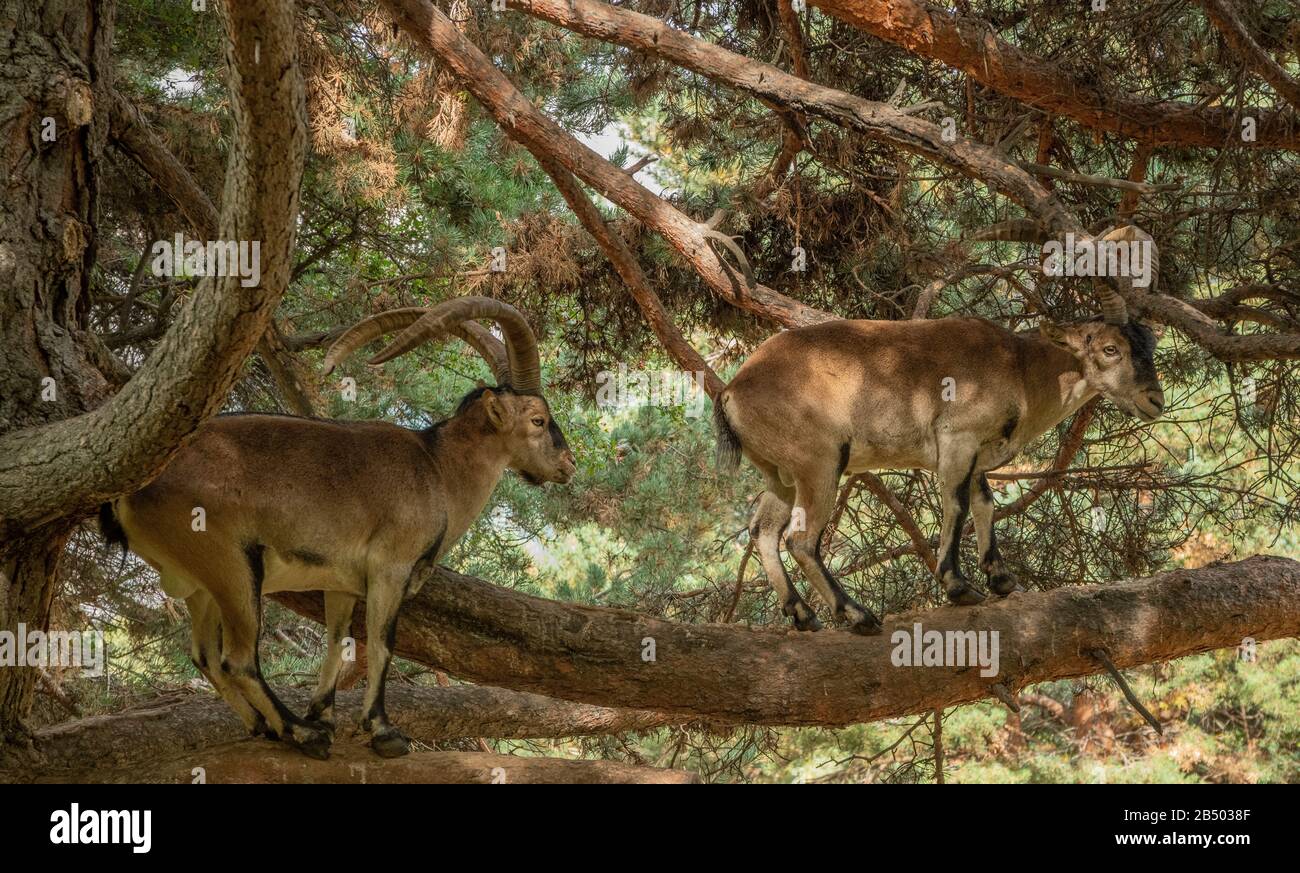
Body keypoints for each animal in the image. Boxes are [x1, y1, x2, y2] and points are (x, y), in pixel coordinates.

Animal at [100, 297, 575, 758]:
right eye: (537, 419)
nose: (568, 465)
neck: (437, 469)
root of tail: (128, 493)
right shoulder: (390, 568)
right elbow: (382, 644)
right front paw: (382, 731)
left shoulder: (340, 582)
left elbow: (337, 643)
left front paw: (325, 714)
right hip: (232, 566)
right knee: (237, 659)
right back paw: (299, 733)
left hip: (203, 585)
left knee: (205, 657)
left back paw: (266, 727)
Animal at [714, 236, 1164, 634]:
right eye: (1110, 348)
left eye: (1150, 346)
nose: (1155, 400)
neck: (1020, 367)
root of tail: (734, 389)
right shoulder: (958, 439)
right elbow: (957, 504)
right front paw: (958, 586)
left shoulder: (979, 453)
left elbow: (985, 503)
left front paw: (1002, 579)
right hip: (820, 463)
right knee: (801, 540)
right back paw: (857, 615)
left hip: (781, 475)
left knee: (763, 532)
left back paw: (803, 615)